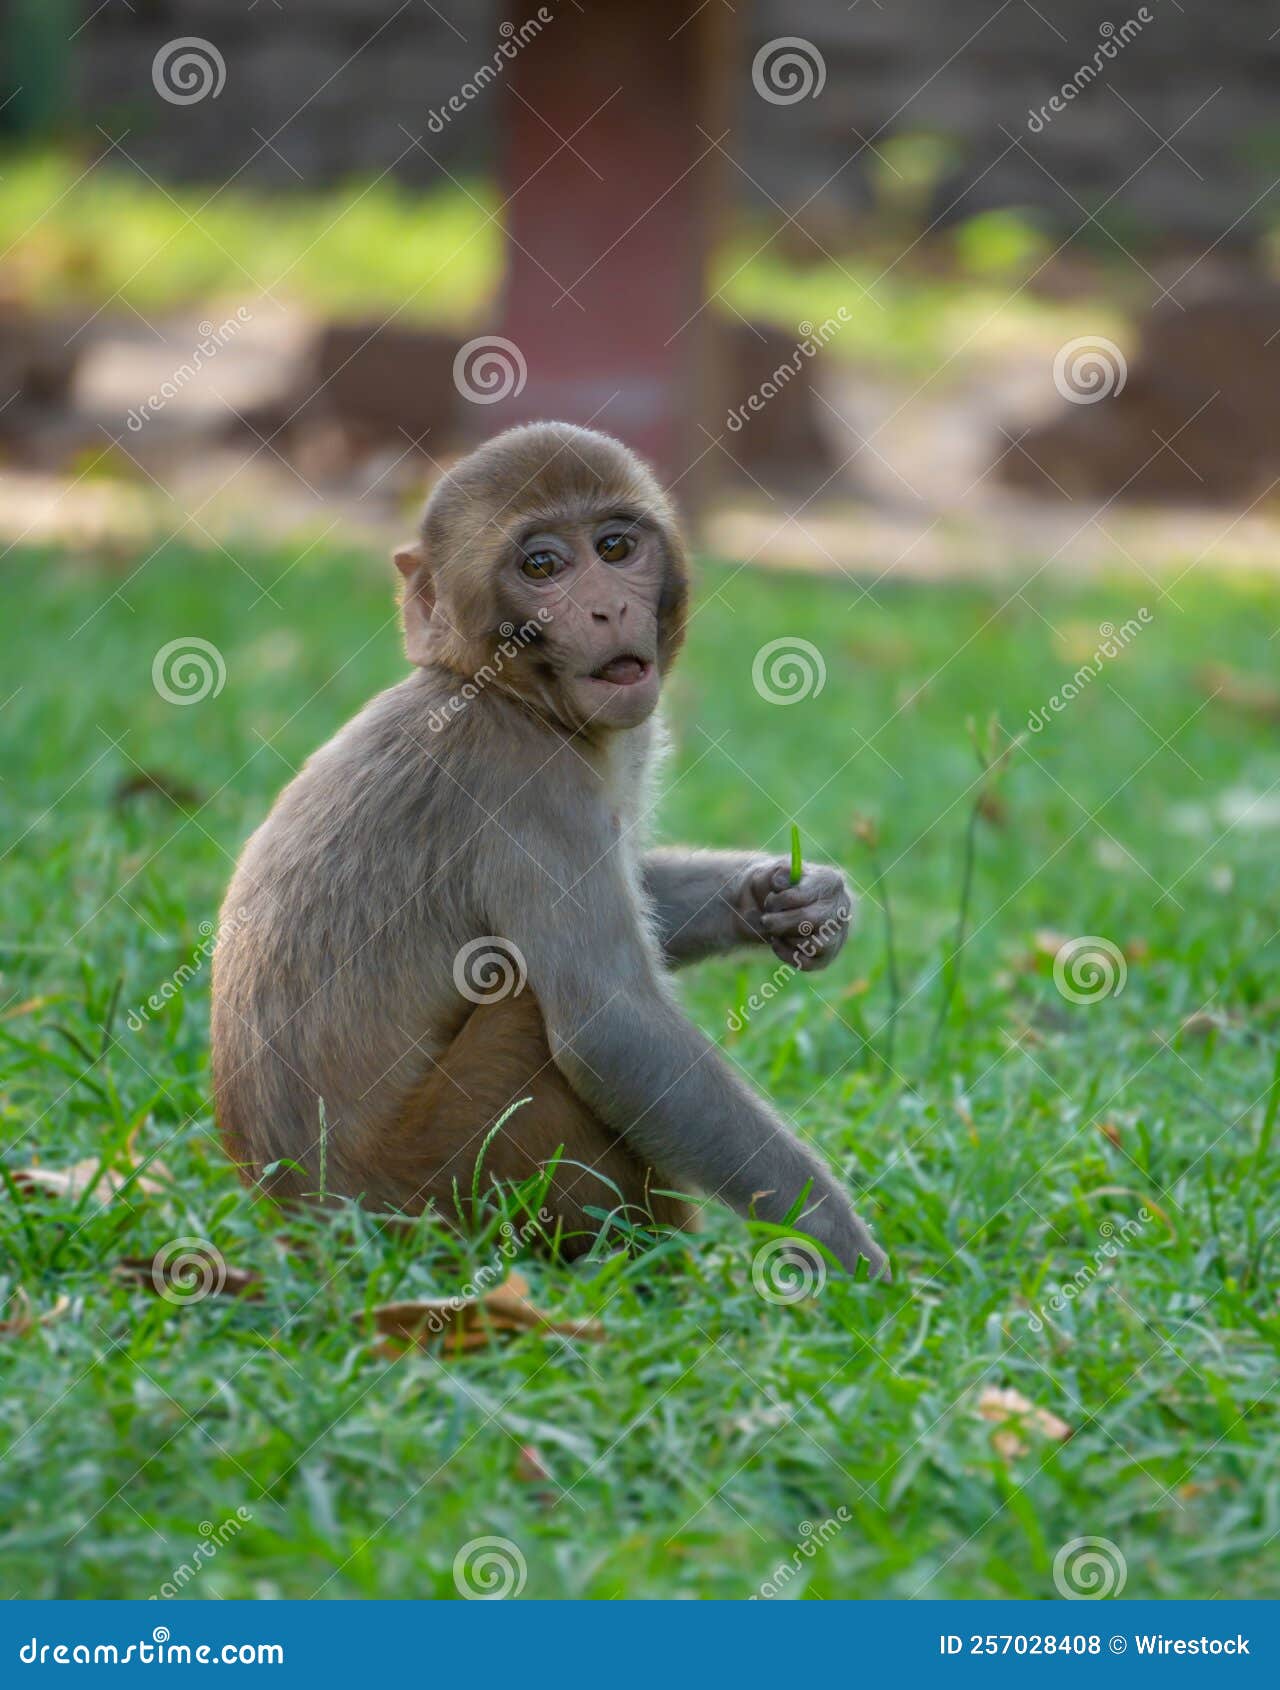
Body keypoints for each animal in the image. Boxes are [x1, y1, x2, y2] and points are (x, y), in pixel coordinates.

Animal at [211, 422, 888, 1279]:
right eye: (541, 567)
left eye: (615, 546)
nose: (607, 607)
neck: (501, 692)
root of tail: (300, 1228)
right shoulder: (528, 781)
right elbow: (612, 1026)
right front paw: (847, 1252)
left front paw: (788, 902)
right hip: (437, 1185)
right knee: (526, 1013)